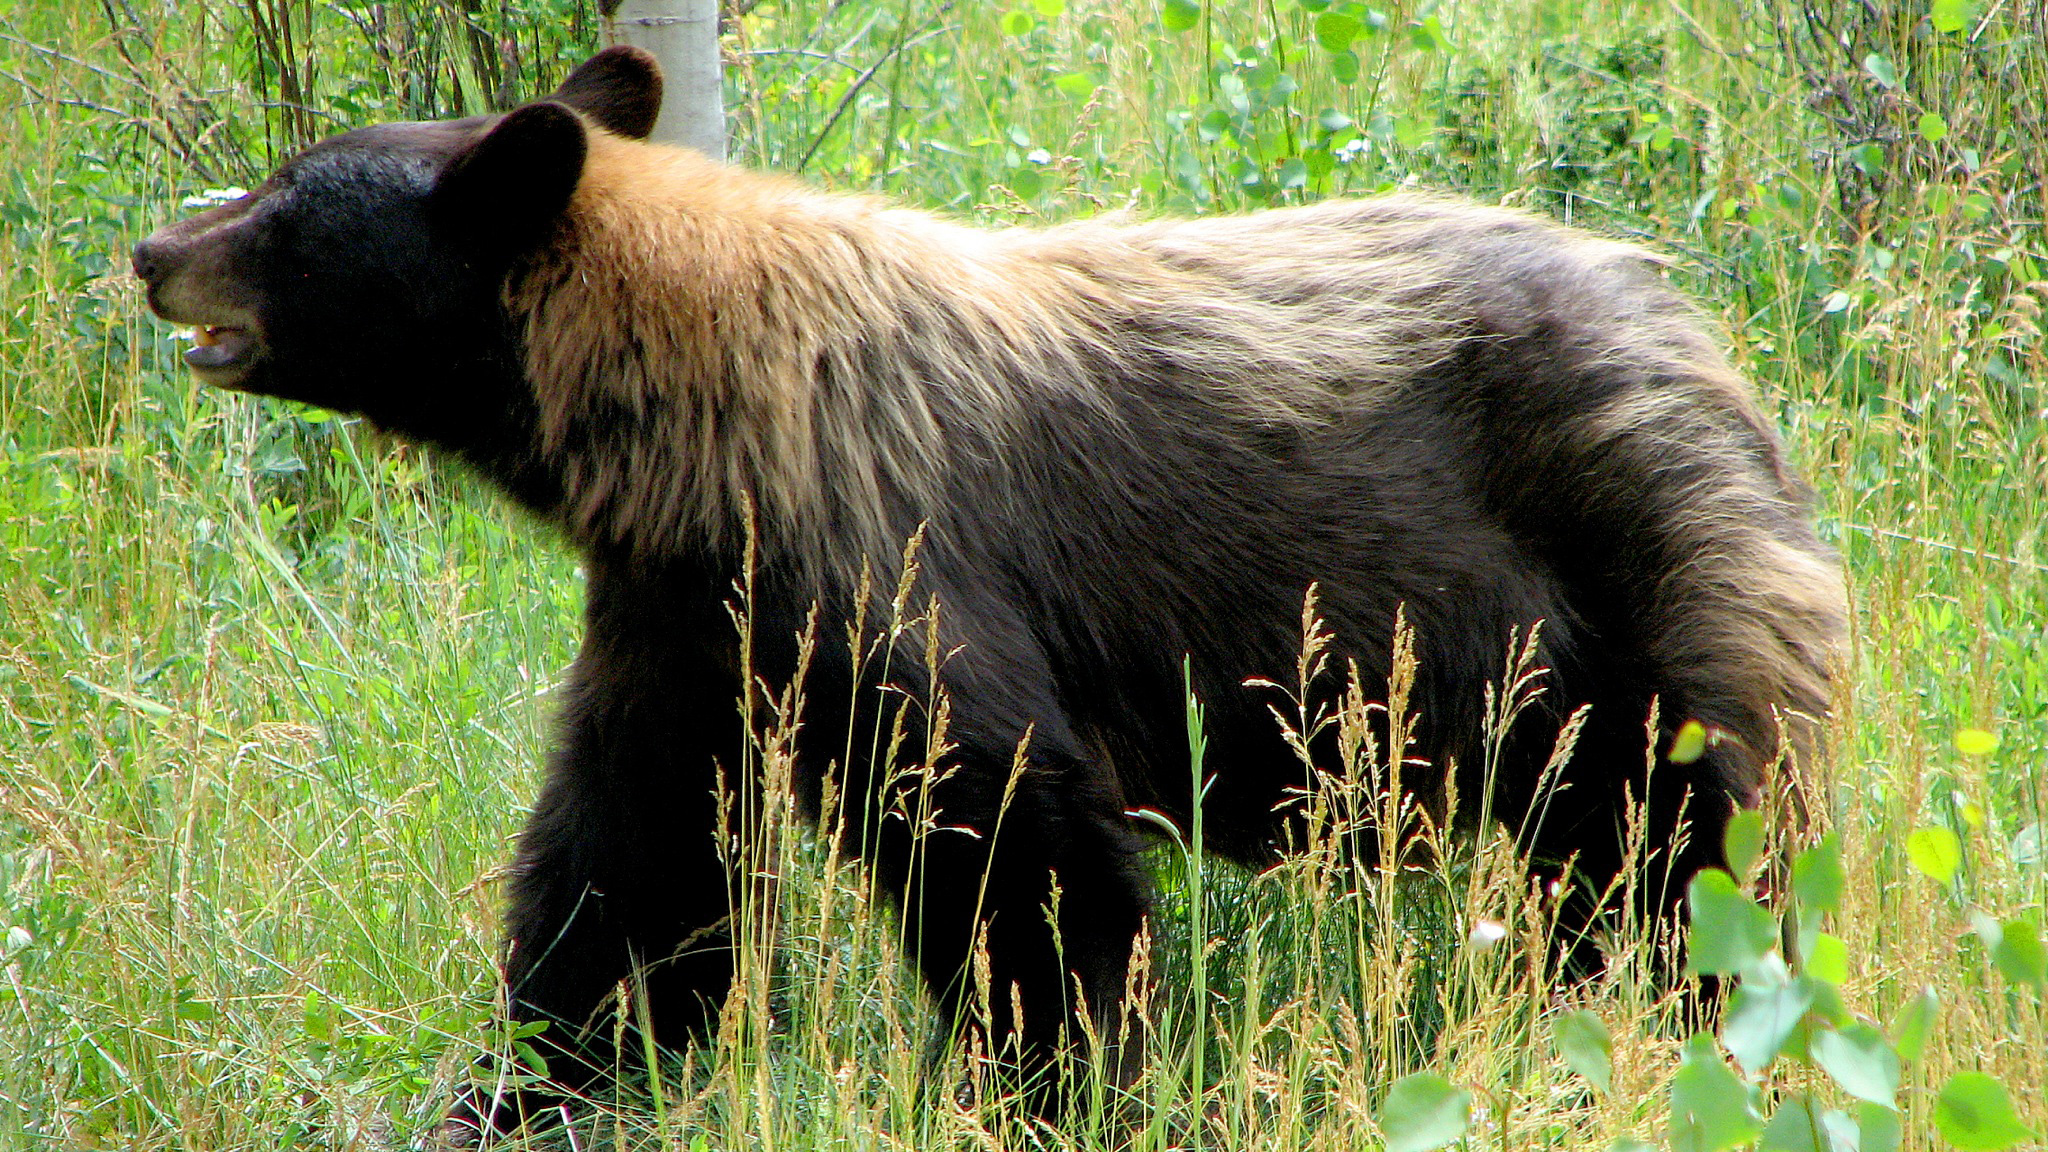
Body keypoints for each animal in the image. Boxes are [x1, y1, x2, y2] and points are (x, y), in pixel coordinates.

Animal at [131, 46, 1845, 1141]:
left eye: (283, 198)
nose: (150, 246)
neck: (711, 415)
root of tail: (1707, 344)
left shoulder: (886, 550)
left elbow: (1013, 839)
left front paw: (1050, 1096)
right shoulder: (689, 613)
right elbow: (632, 864)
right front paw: (531, 1087)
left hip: (1638, 587)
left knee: (1682, 858)